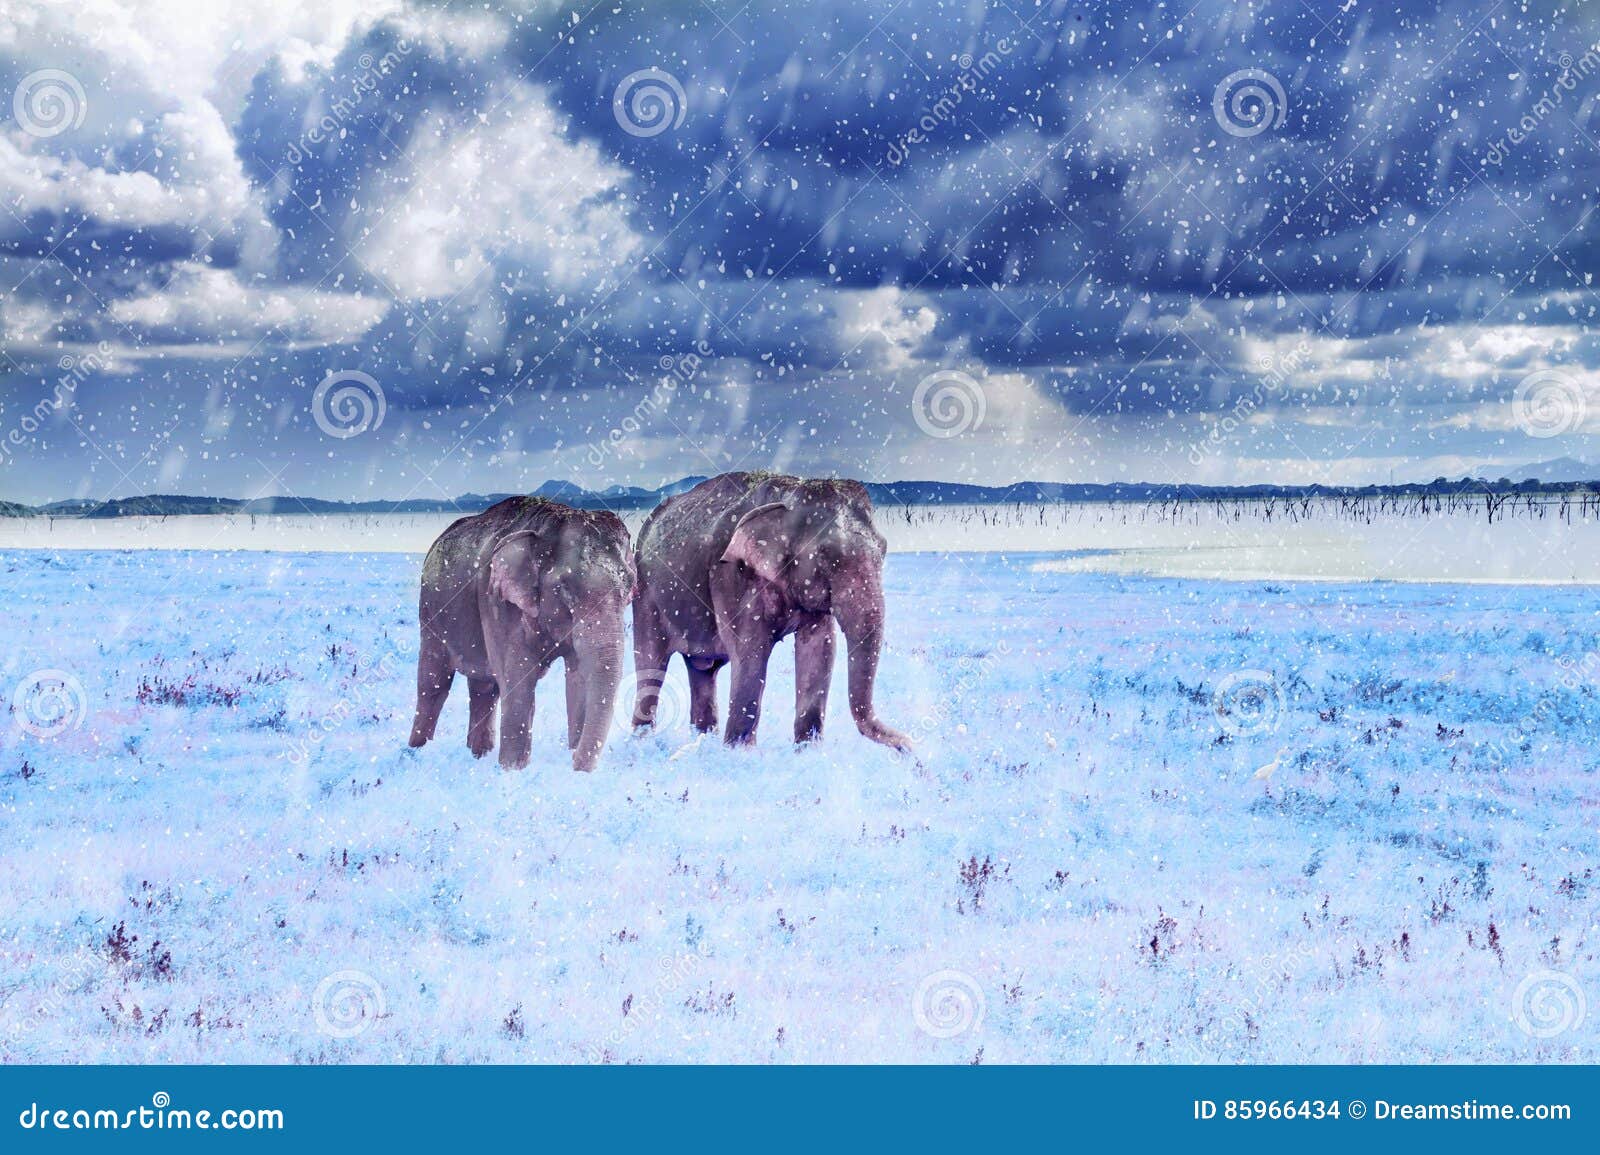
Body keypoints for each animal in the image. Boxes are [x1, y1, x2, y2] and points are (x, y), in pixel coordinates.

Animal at [408, 496, 634, 772]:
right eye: (564, 588)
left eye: (630, 587)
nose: (574, 765)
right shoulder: (496, 600)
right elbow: (518, 678)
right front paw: (512, 770)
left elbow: (579, 675)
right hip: (429, 613)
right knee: (433, 683)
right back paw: (416, 753)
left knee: (484, 688)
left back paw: (477, 755)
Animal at [631, 472, 910, 751]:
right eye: (824, 555)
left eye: (884, 549)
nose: (909, 744)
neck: (790, 494)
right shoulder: (732, 575)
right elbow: (751, 652)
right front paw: (739, 752)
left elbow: (820, 648)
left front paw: (807, 751)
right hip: (645, 592)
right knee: (650, 665)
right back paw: (642, 741)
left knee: (703, 670)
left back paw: (703, 740)